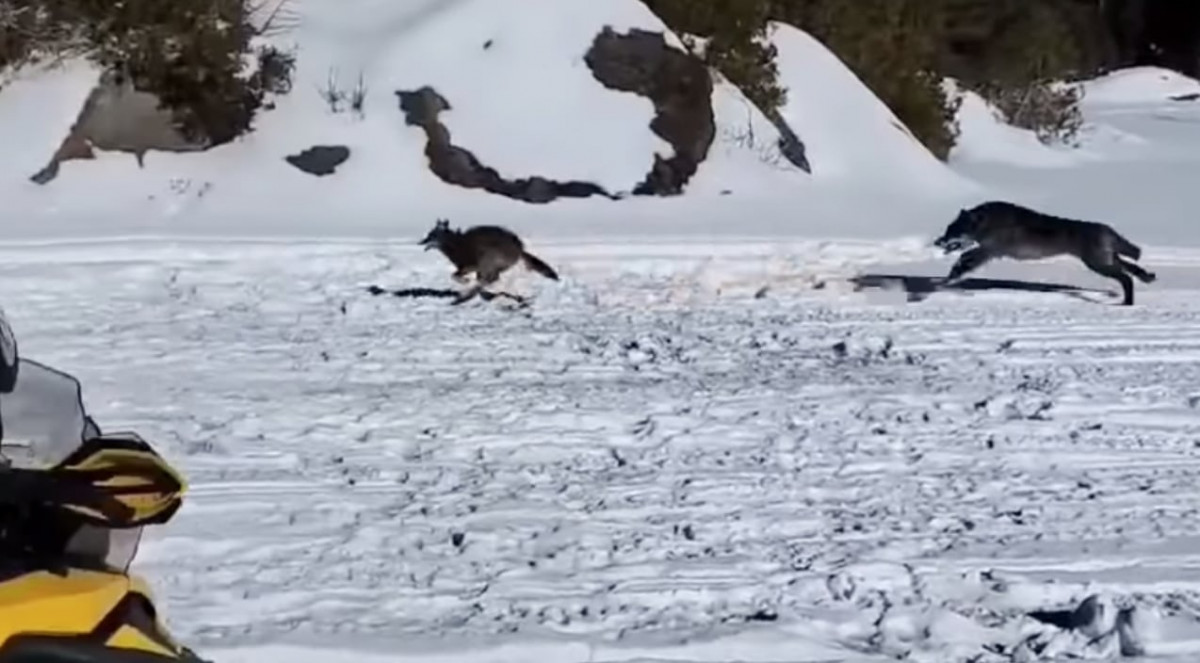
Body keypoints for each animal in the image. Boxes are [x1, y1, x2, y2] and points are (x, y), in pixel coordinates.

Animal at [418, 218, 560, 305]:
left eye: (432, 235)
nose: (421, 242)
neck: (455, 244)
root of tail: (519, 249)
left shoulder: (471, 265)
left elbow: (454, 275)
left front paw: (466, 282)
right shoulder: (475, 269)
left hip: (488, 258)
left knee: (491, 278)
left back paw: (465, 296)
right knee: (492, 279)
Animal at [932, 201, 1156, 306]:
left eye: (953, 231)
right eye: (947, 229)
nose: (937, 241)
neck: (989, 222)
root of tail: (1107, 229)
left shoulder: (989, 251)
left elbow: (964, 261)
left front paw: (947, 280)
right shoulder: (987, 250)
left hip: (1098, 264)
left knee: (1126, 277)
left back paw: (1128, 302)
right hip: (1106, 260)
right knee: (1132, 269)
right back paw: (1147, 279)